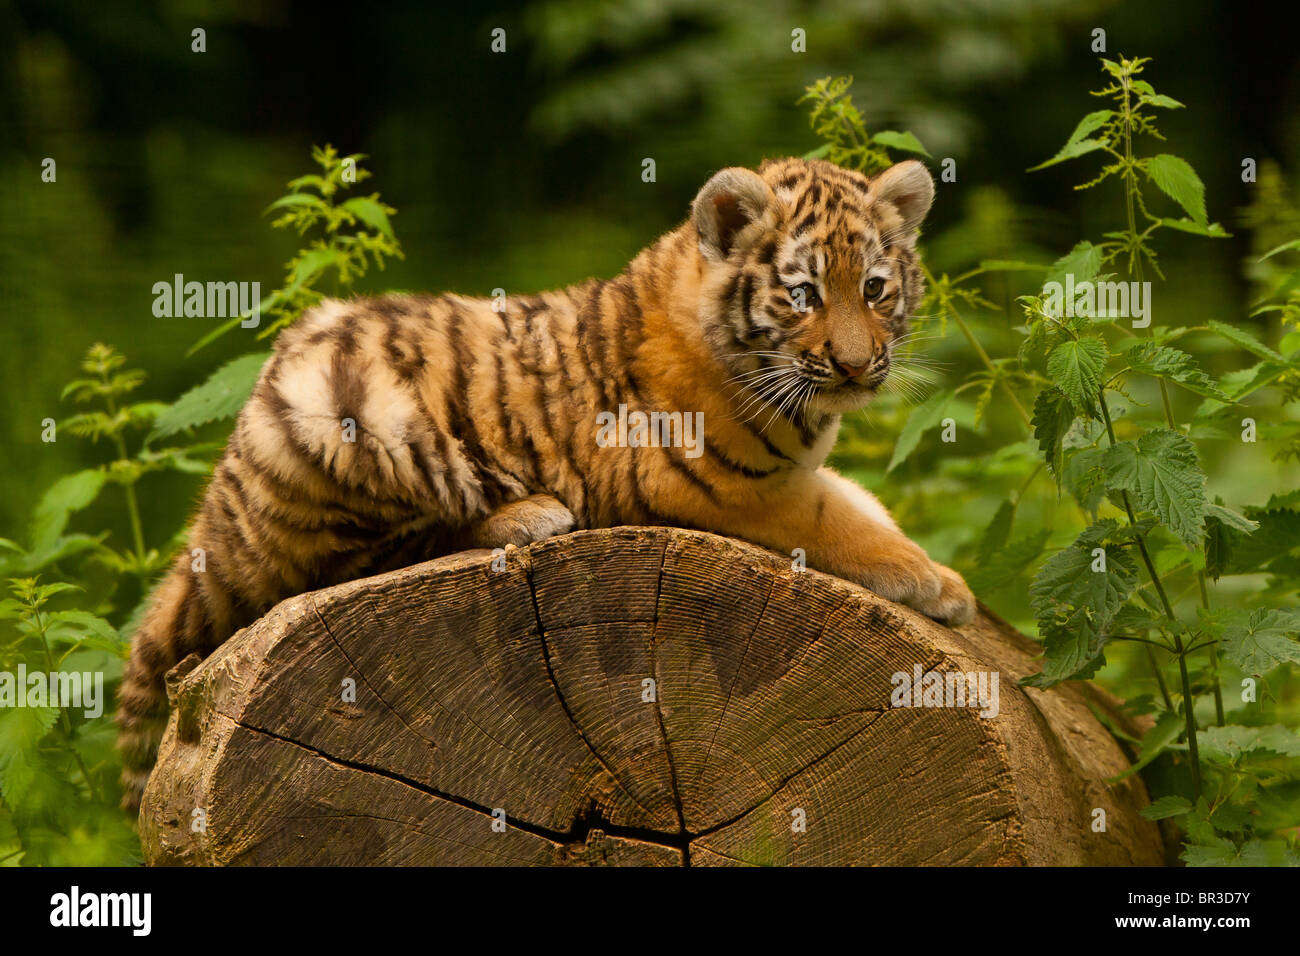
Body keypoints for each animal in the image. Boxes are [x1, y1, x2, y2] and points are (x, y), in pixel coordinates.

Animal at [116, 156, 976, 811]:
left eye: (874, 288)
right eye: (802, 295)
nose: (859, 367)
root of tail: (214, 519)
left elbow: (863, 502)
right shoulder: (716, 483)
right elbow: (837, 522)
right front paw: (941, 584)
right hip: (343, 412)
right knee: (341, 562)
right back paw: (527, 515)